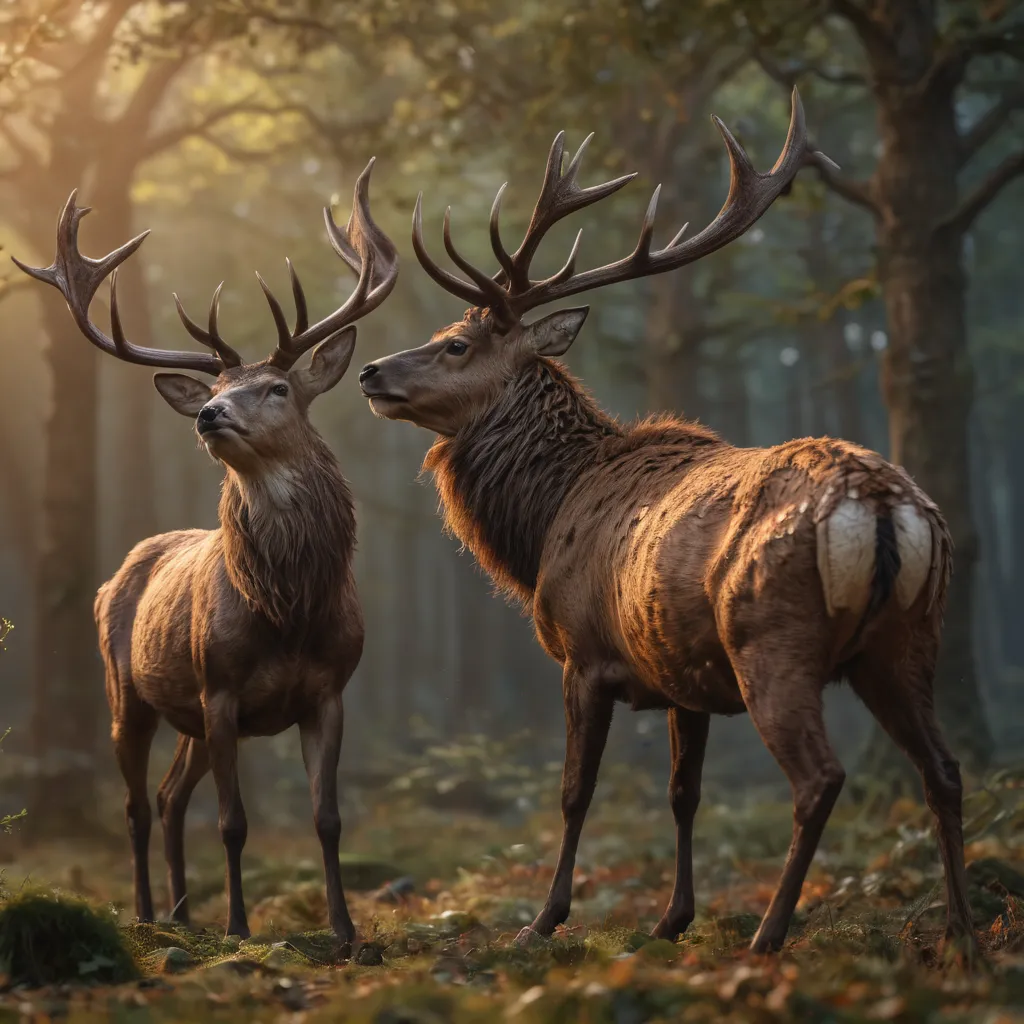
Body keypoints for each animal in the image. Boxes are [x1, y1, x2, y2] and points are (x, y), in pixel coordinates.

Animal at [14, 160, 398, 942]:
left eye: (277, 387)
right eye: (215, 388)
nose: (209, 414)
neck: (288, 612)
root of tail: (115, 575)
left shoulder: (329, 690)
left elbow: (328, 817)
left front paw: (347, 934)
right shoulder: (219, 688)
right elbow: (233, 823)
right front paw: (241, 929)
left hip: (184, 712)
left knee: (168, 797)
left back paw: (183, 916)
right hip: (127, 690)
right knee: (137, 804)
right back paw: (147, 914)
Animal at [357, 89, 977, 959]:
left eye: (457, 344)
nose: (371, 372)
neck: (544, 521)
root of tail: (885, 505)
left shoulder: (583, 653)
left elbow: (574, 791)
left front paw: (544, 919)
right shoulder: (683, 671)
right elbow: (684, 793)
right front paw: (672, 918)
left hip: (773, 640)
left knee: (819, 778)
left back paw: (768, 936)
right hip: (907, 639)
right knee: (944, 769)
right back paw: (962, 932)